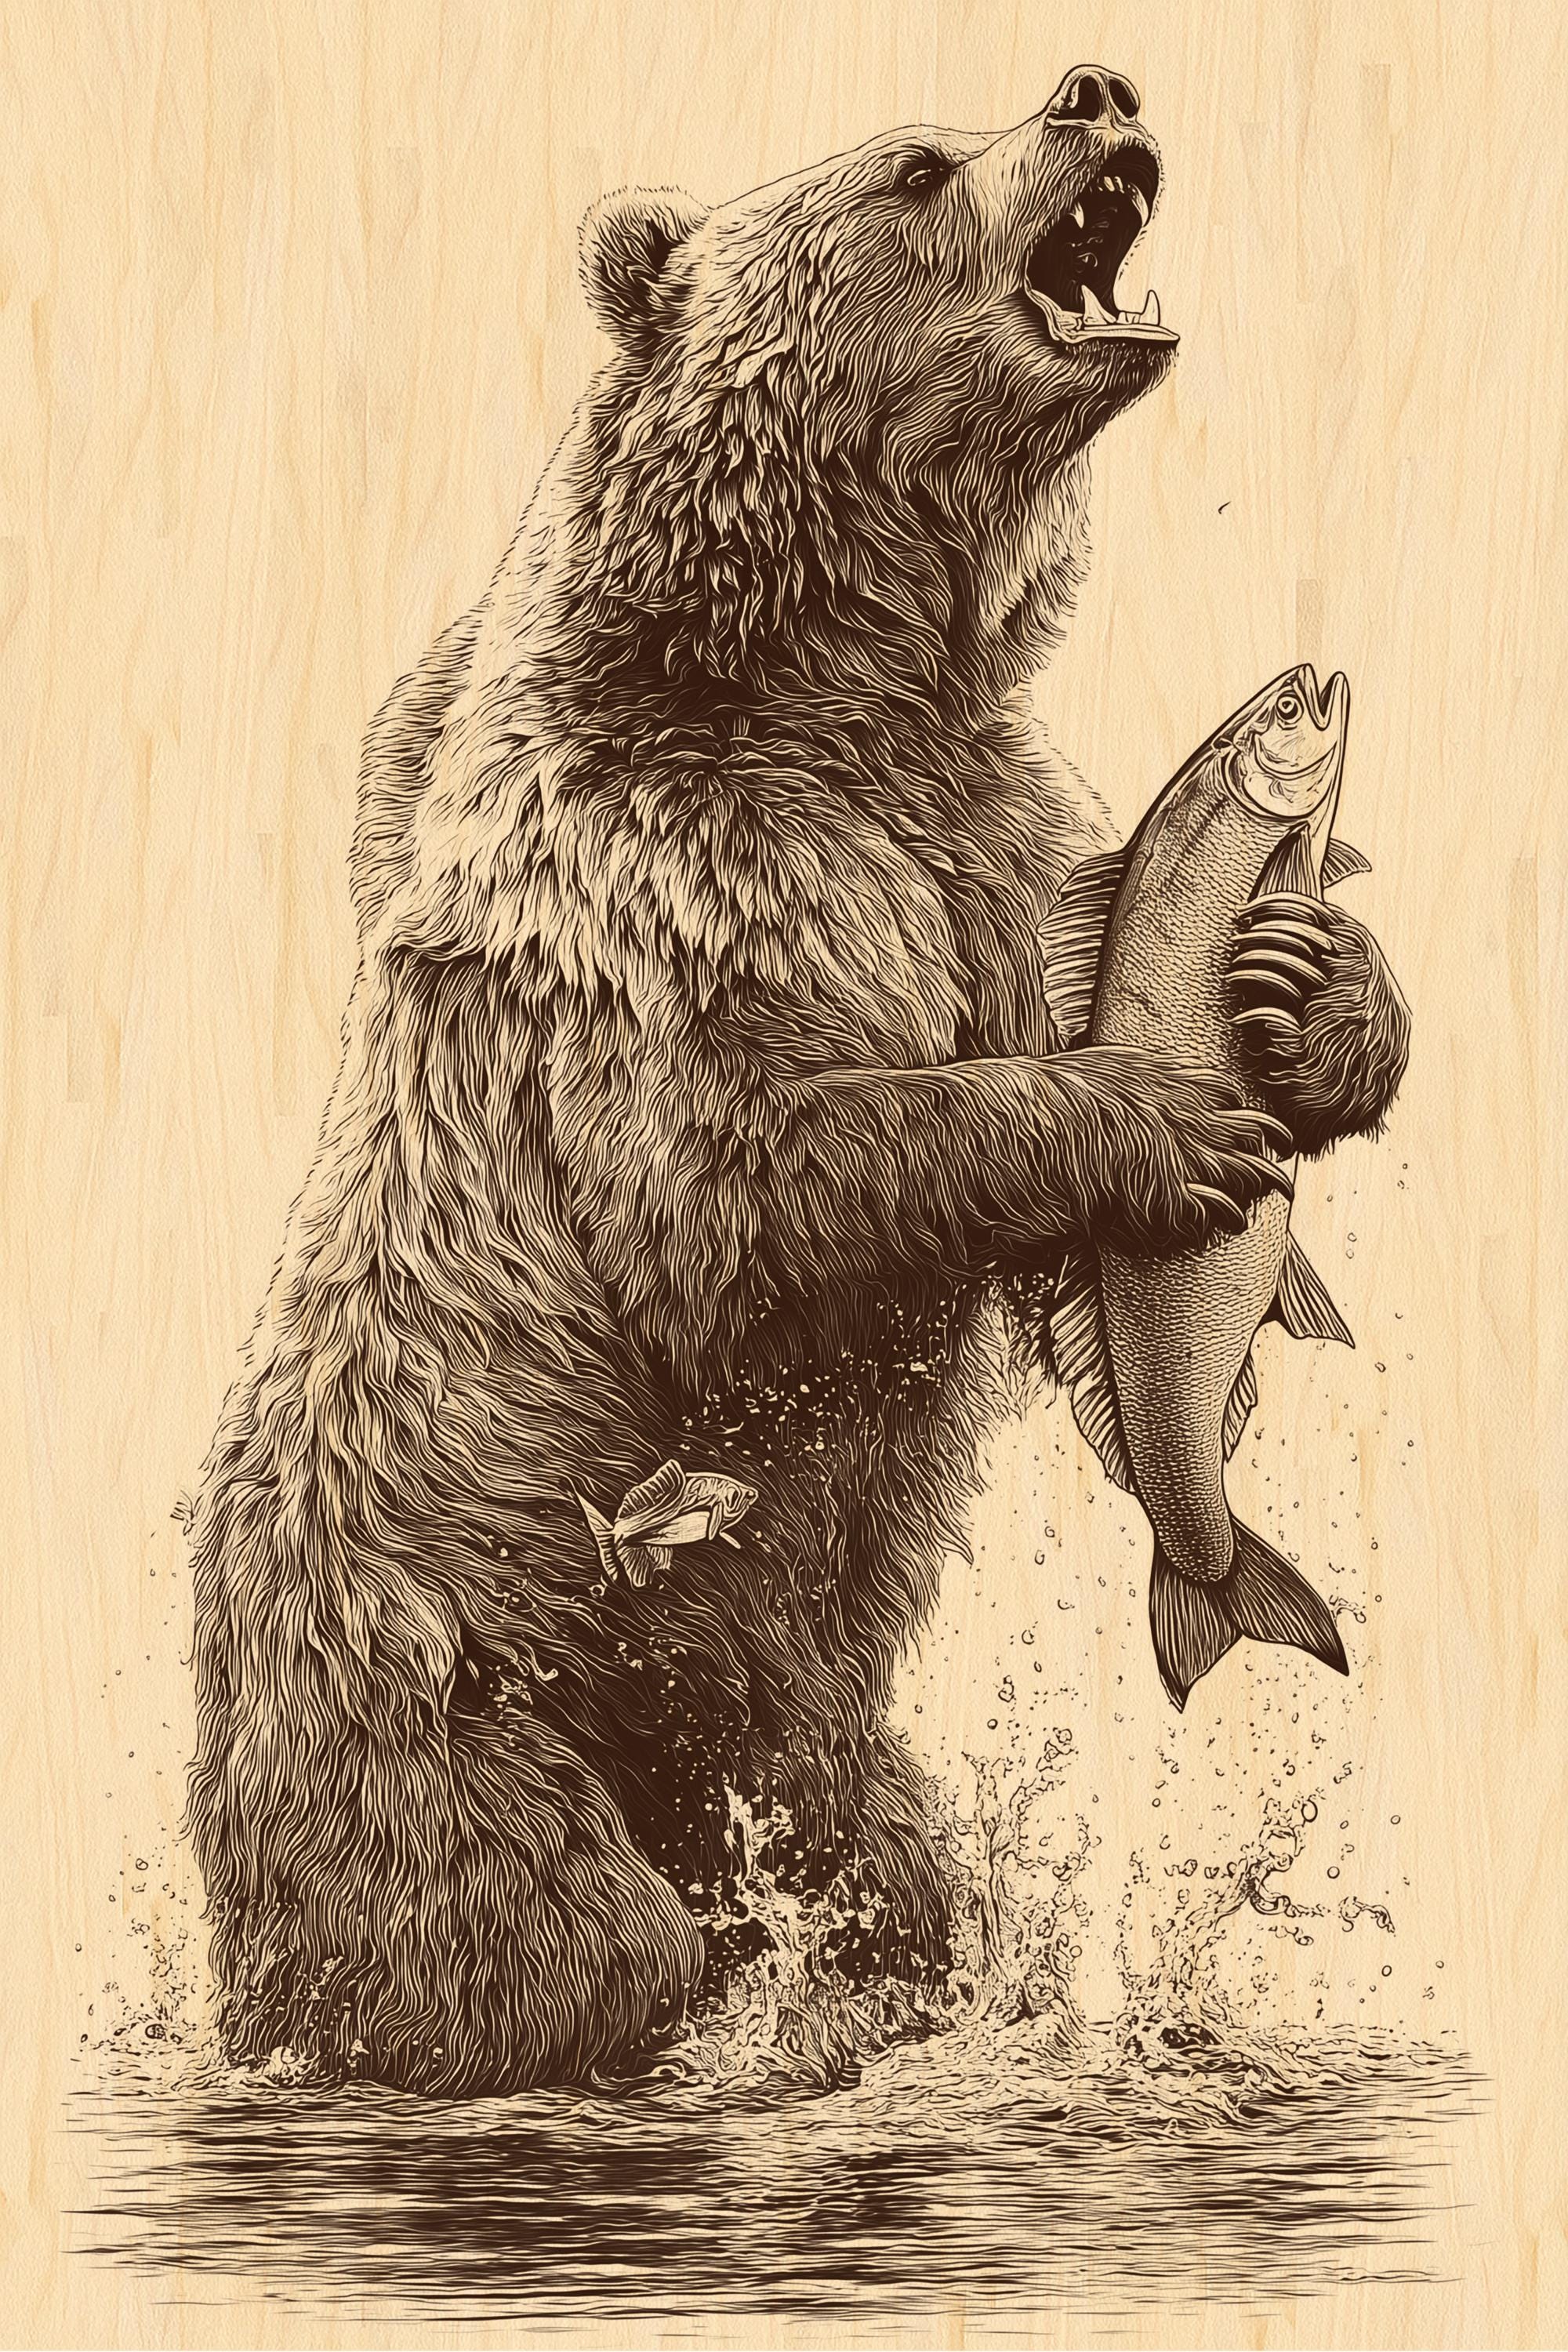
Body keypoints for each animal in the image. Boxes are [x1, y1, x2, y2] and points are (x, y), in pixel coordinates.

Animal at [185, 68, 1409, 2096]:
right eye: (913, 165)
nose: (1099, 92)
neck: (831, 673)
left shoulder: (979, 833)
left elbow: (1061, 956)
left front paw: (1316, 998)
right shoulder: (673, 885)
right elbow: (754, 1185)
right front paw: (1156, 1115)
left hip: (794, 1711)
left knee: (876, 1863)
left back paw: (862, 1991)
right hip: (441, 1672)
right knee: (527, 1928)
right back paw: (626, 2016)